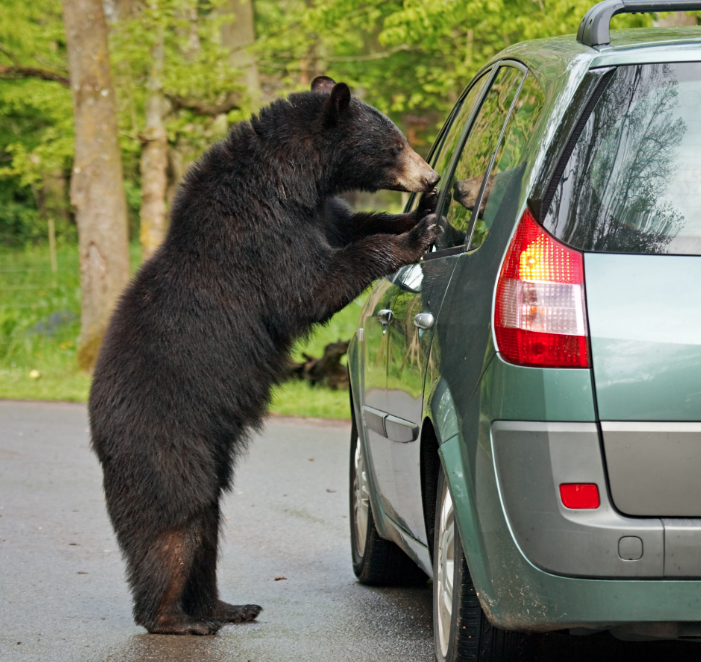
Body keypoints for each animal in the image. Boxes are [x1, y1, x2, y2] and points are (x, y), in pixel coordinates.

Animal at [88, 75, 439, 636]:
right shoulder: (261, 236)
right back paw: (175, 618)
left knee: (206, 529)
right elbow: (310, 286)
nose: (429, 176)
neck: (291, 183)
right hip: (165, 442)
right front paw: (415, 234)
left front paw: (420, 214)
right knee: (175, 523)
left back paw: (226, 606)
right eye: (393, 145)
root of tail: (97, 429)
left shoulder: (320, 212)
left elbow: (354, 223)